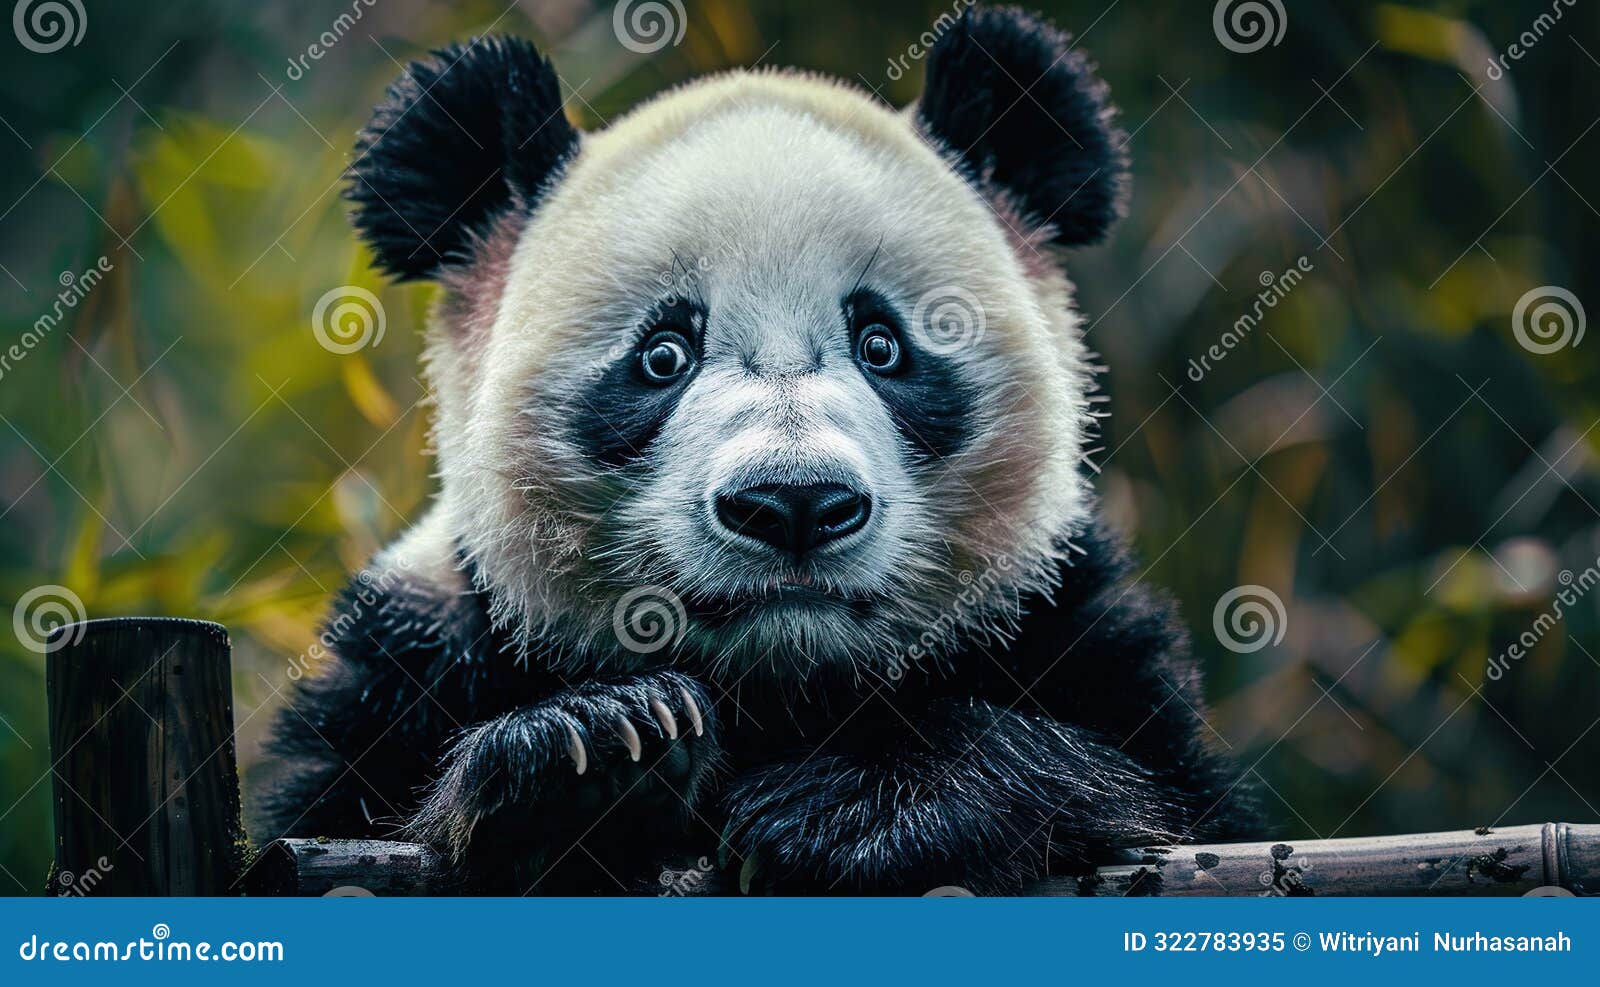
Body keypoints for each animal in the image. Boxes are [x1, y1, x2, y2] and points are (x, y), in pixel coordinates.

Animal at [258, 5, 1256, 895]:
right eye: (663, 354)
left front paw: (850, 809)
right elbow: (327, 826)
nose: (795, 502)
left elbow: (1158, 799)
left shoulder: (1073, 628)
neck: (780, 691)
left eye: (883, 344)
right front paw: (591, 750)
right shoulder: (413, 658)